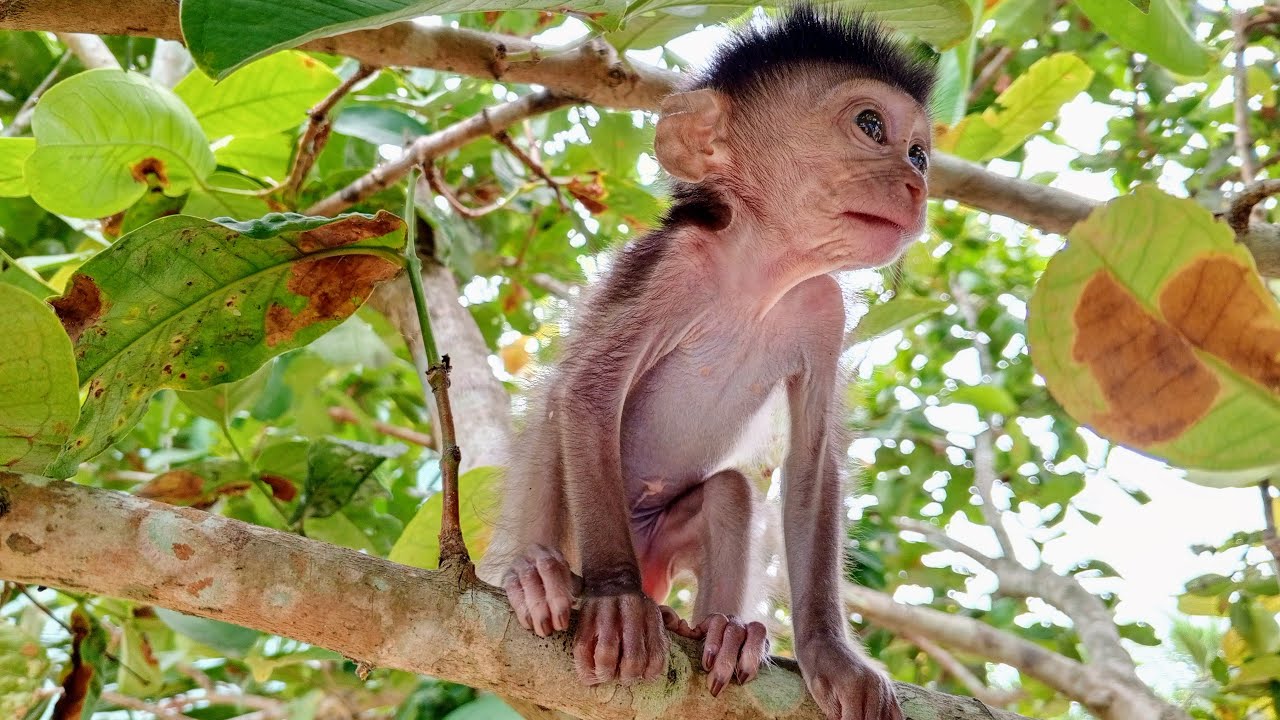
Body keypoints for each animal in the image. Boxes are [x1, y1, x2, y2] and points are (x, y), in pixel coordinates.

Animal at [478, 7, 935, 720]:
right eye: (870, 126)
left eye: (918, 152)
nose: (917, 183)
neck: (761, 274)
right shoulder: (675, 266)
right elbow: (587, 390)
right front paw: (615, 599)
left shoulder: (823, 311)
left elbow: (813, 464)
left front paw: (830, 654)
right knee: (556, 412)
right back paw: (541, 576)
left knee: (729, 492)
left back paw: (722, 631)